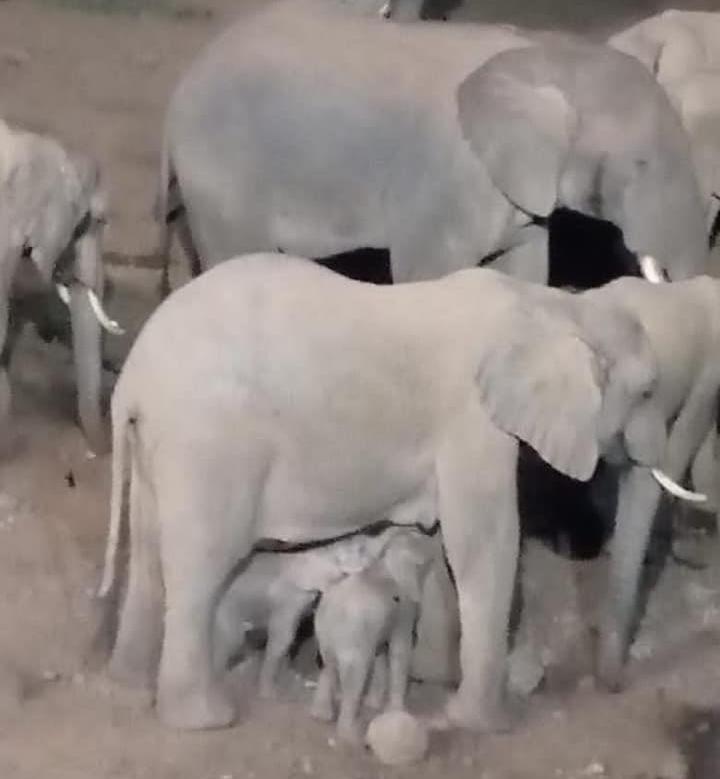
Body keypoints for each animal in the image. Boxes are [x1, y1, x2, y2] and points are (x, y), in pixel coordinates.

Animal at [156, 0, 707, 296]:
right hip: (220, 170)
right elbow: (424, 274)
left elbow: (524, 272)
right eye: (639, 164)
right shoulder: (446, 178)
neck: (546, 51)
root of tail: (185, 79)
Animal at [213, 525, 413, 697]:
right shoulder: (288, 598)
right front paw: (270, 694)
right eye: (360, 549)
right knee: (232, 639)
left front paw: (291, 679)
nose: (411, 528)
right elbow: (284, 637)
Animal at [311, 528, 439, 743]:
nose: (436, 545)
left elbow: (381, 653)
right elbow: (399, 650)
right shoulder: (403, 609)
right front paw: (395, 712)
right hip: (352, 637)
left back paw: (321, 716)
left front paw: (374, 705)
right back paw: (349, 734)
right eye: (420, 542)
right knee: (353, 678)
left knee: (328, 666)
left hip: (324, 633)